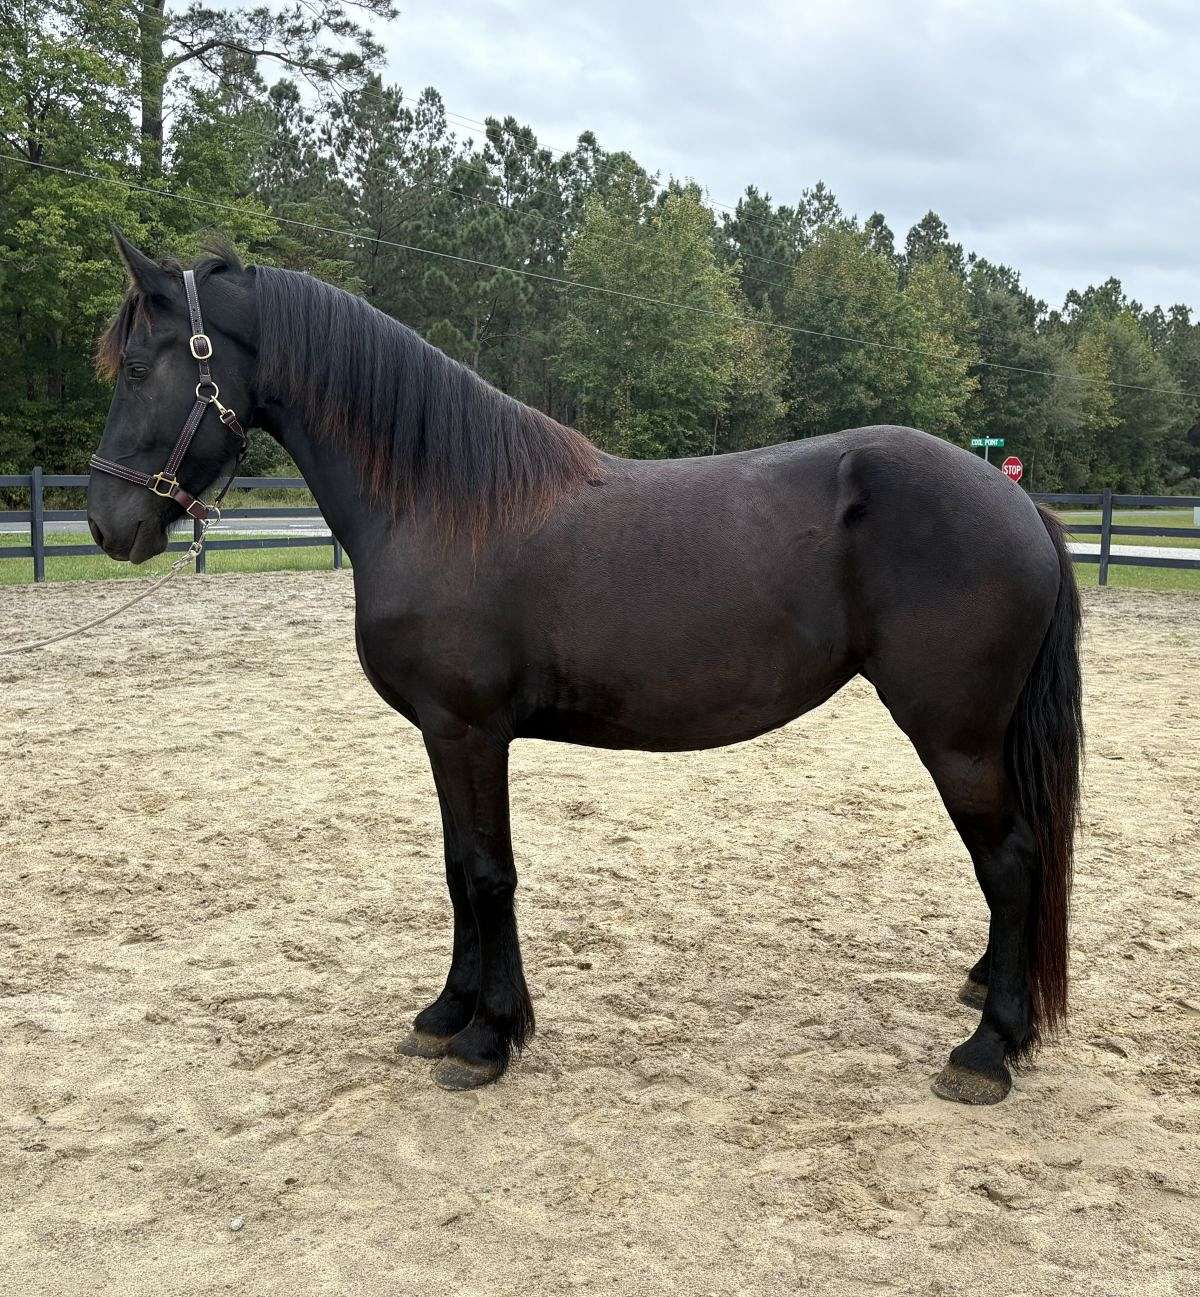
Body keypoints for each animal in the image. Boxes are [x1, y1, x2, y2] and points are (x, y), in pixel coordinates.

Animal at [86, 234, 1083, 1104]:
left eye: (137, 366)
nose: (105, 524)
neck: (441, 502)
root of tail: (1019, 504)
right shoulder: (443, 736)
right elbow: (455, 866)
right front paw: (446, 1012)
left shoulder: (468, 730)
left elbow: (489, 871)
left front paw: (489, 1037)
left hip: (954, 736)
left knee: (1011, 860)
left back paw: (987, 1049)